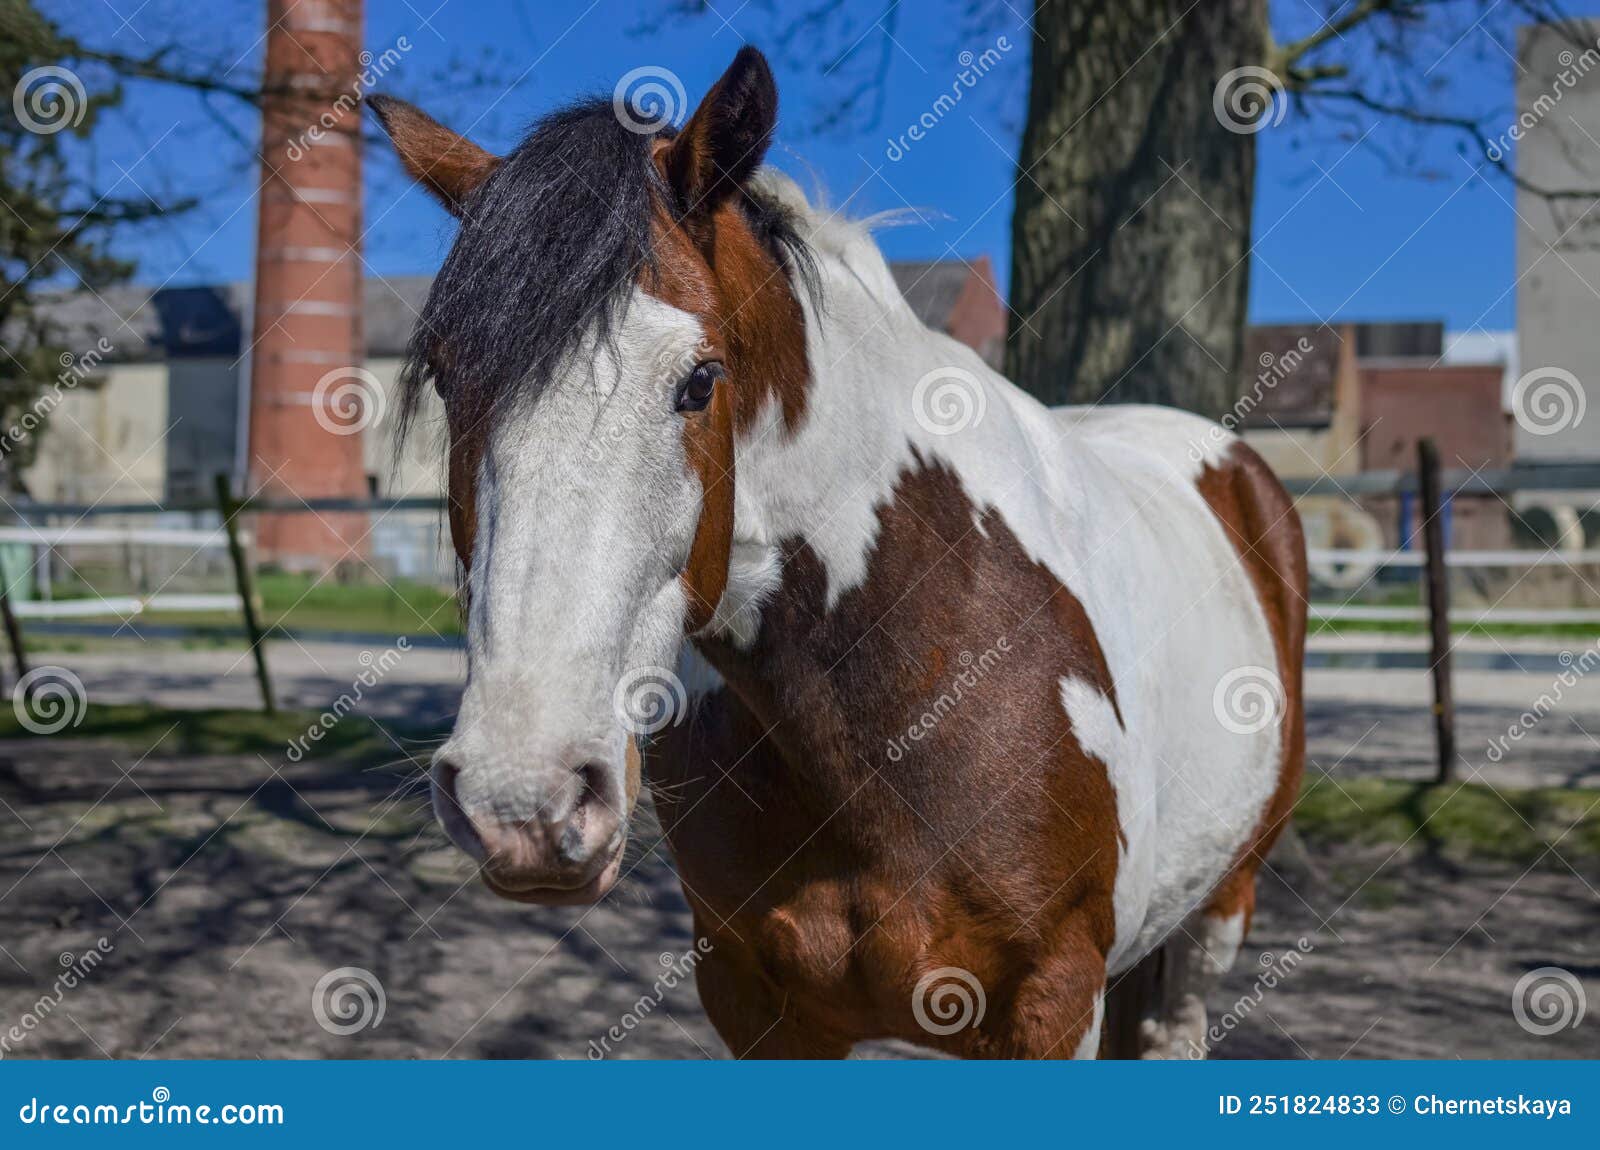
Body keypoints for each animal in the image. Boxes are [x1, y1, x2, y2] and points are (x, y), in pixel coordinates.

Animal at [368, 46, 1306, 1059]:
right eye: (452, 379)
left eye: (699, 381)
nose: (522, 799)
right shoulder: (758, 1001)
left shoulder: (1054, 999)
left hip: (1219, 908)